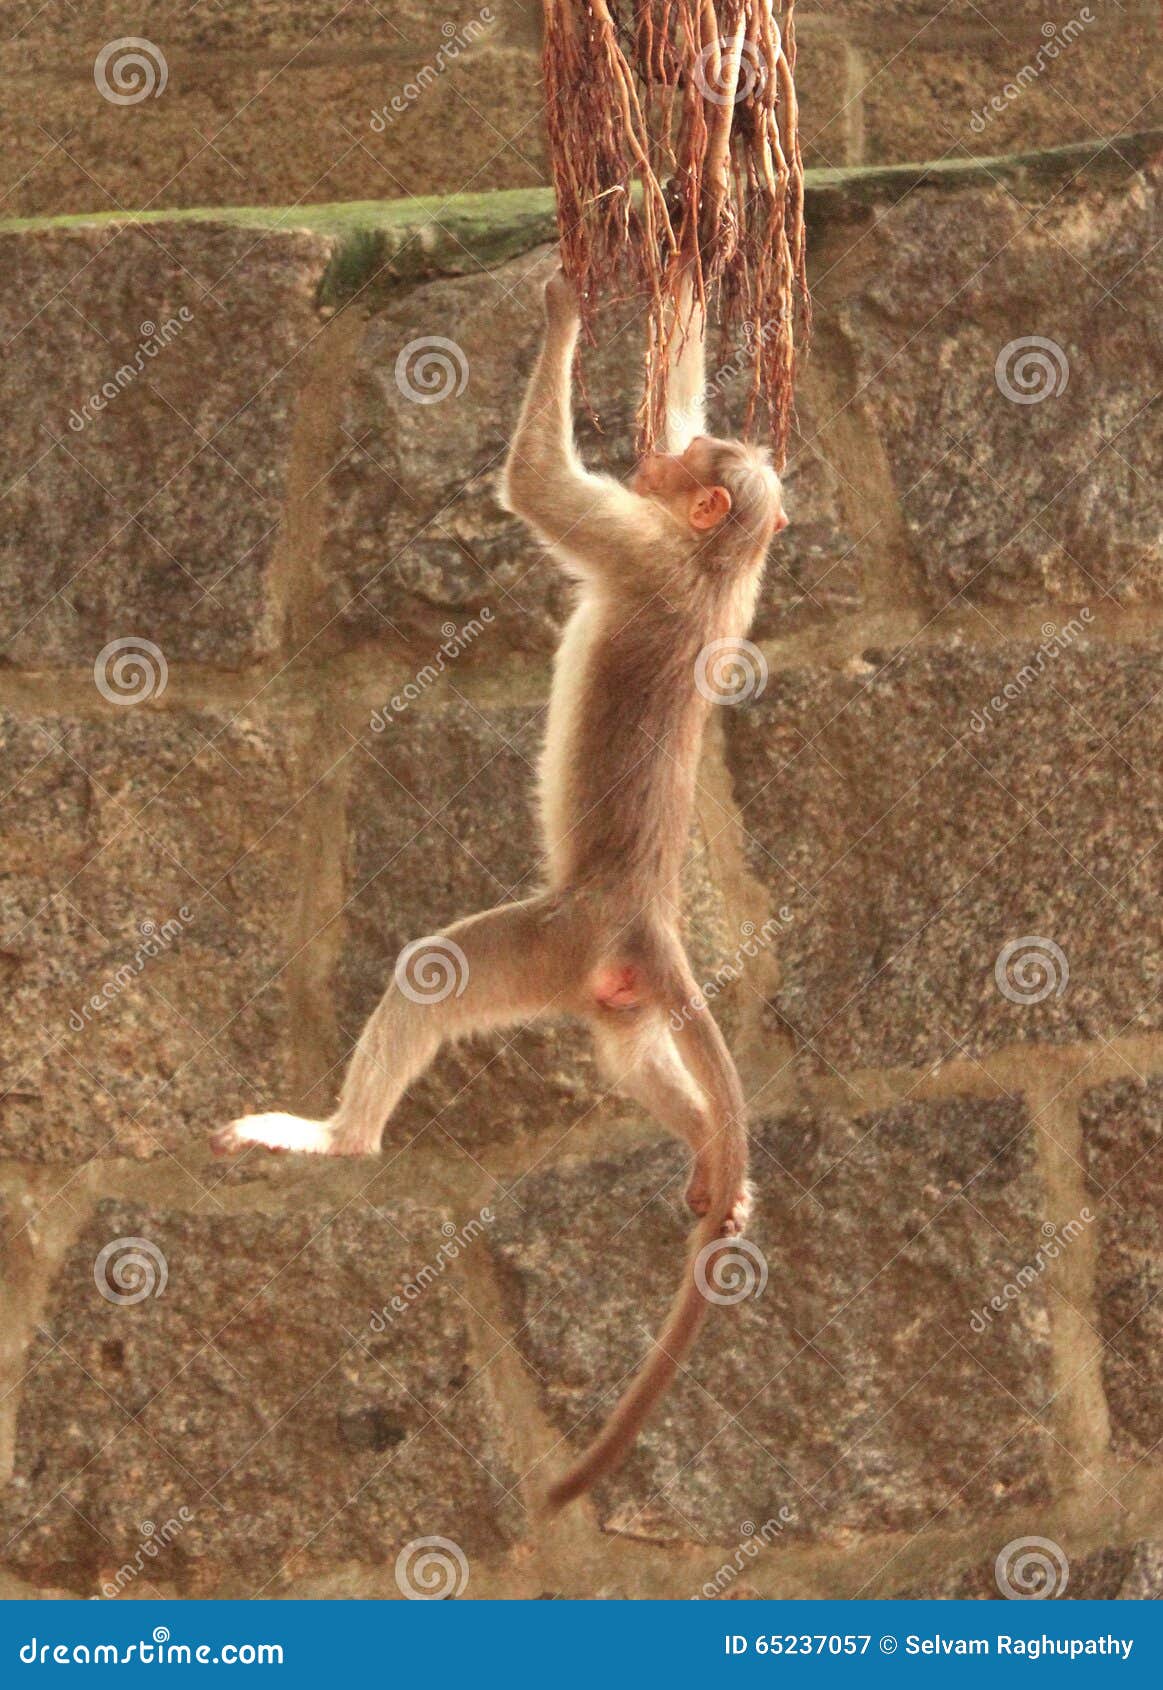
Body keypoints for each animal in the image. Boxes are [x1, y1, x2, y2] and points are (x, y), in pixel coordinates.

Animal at [211, 262, 789, 1510]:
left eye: (678, 474)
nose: (657, 464)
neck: (714, 568)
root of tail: (644, 924)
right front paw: (678, 263)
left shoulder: (637, 542)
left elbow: (536, 489)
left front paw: (569, 304)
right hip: (603, 980)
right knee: (631, 1059)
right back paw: (704, 1155)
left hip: (554, 940)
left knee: (437, 975)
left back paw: (338, 1139)